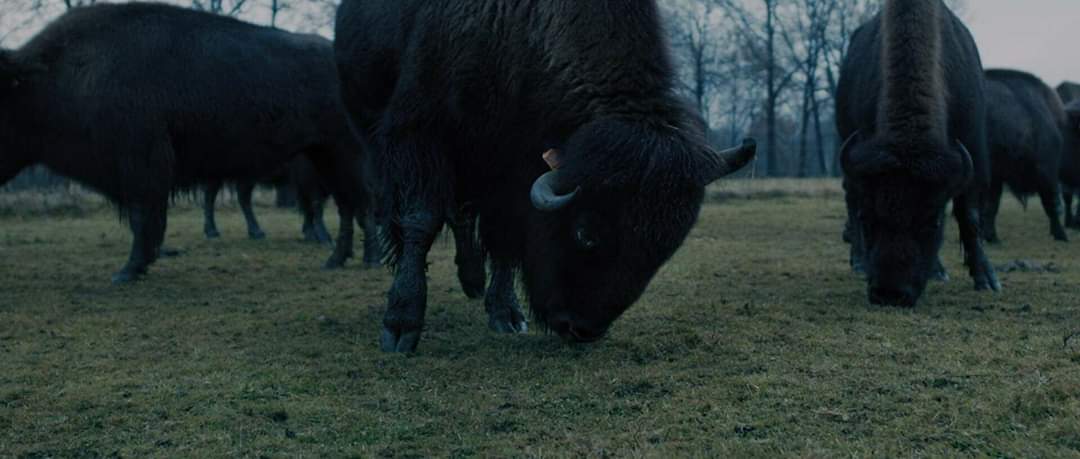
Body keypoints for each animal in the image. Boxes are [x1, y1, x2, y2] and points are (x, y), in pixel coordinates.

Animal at [0, 3, 380, 281]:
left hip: (345, 154)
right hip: (323, 157)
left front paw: (127, 271)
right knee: (349, 206)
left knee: (361, 204)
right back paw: (335, 259)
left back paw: (367, 259)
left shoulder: (143, 168)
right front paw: (138, 266)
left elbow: (142, 219)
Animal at [335, 0, 756, 352]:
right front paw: (400, 326)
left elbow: (503, 239)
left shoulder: (508, 170)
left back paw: (472, 280)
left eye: (667, 246)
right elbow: (421, 219)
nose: (582, 329)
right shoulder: (423, 132)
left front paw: (506, 314)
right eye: (585, 233)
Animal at [837, 0, 999, 307]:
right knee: (850, 197)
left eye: (933, 222)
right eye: (868, 219)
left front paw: (986, 279)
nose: (890, 294)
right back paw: (860, 262)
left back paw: (937, 270)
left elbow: (969, 215)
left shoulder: (973, 149)